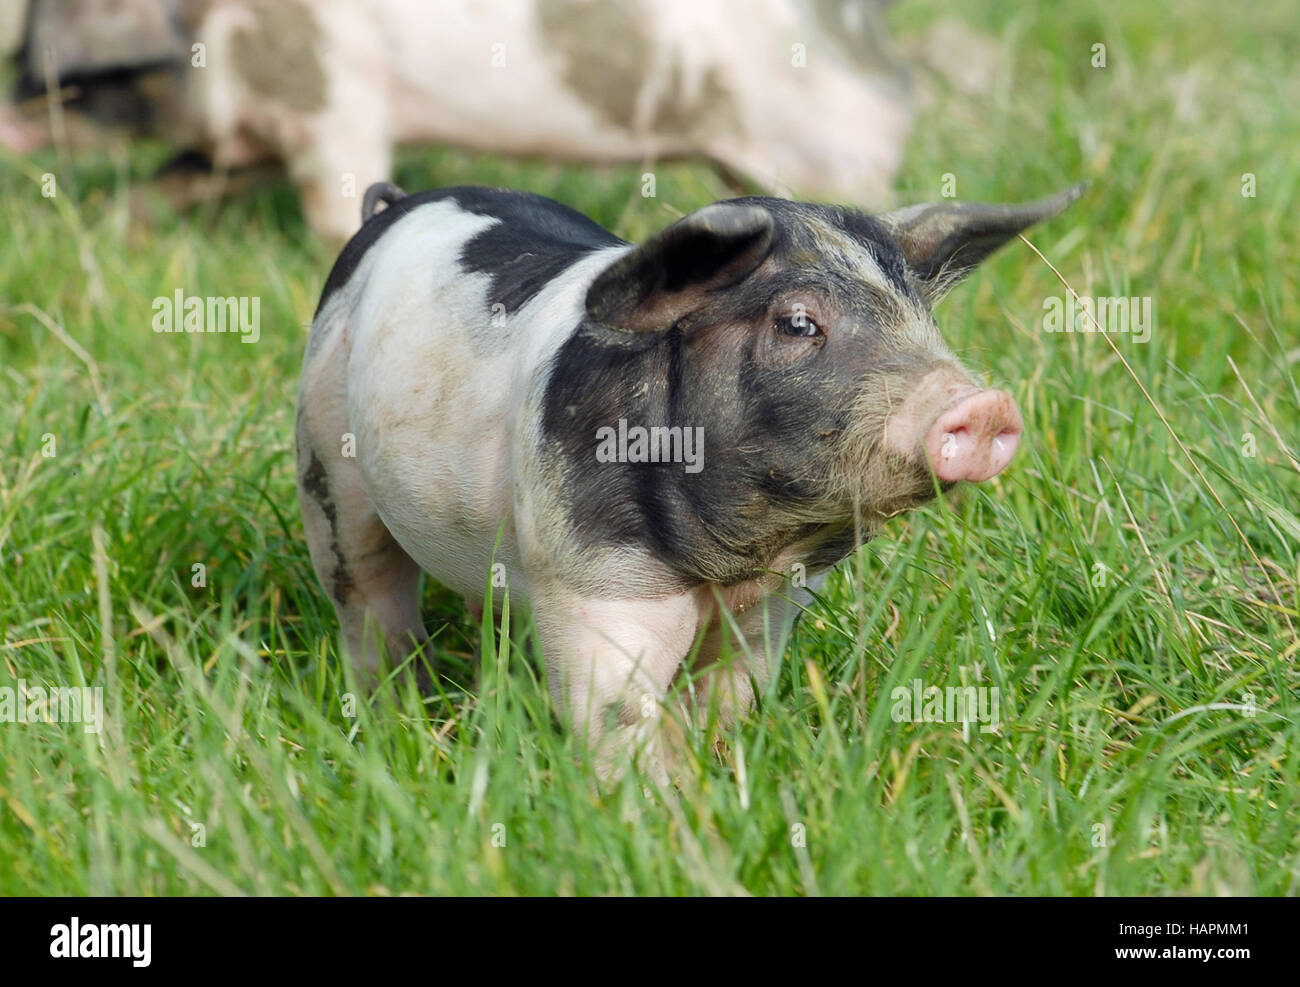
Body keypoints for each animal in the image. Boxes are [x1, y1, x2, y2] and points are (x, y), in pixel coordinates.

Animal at [6, 0, 912, 245]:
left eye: (67, 80)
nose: (8, 127)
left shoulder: (336, 104)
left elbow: (331, 203)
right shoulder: (247, 143)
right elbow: (174, 182)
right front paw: (121, 231)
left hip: (823, 142)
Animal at [296, 181, 1084, 781]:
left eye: (923, 317)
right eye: (798, 323)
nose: (983, 404)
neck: (731, 562)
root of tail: (398, 202)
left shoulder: (769, 611)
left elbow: (729, 698)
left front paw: (717, 772)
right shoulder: (592, 587)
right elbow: (615, 715)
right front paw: (656, 809)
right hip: (324, 454)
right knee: (369, 597)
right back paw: (394, 714)